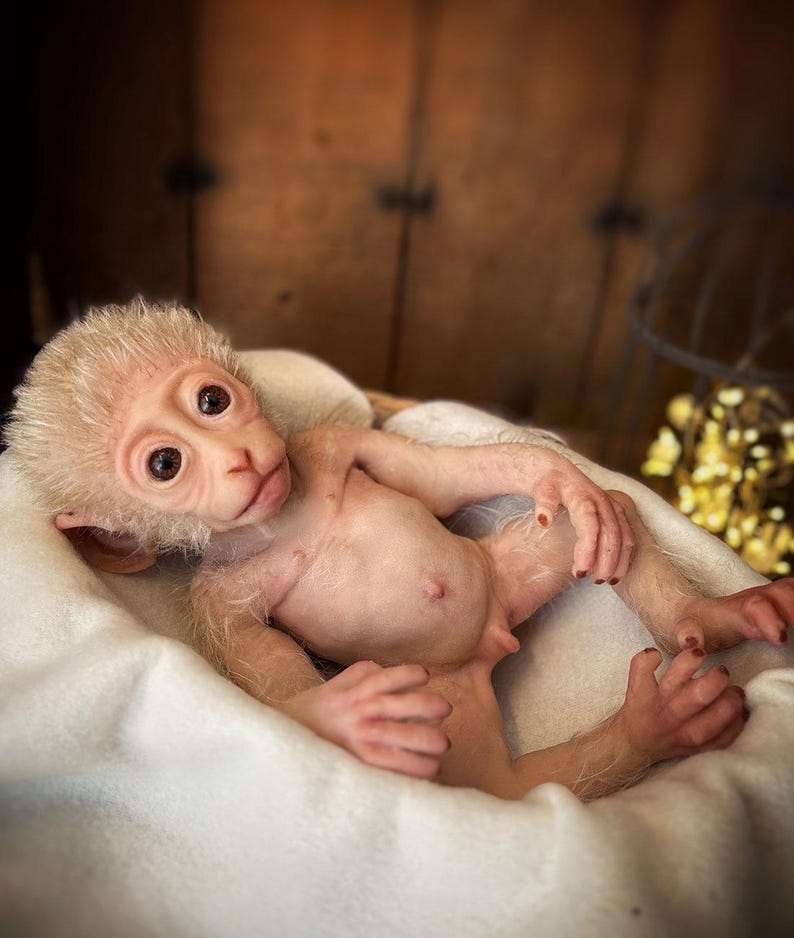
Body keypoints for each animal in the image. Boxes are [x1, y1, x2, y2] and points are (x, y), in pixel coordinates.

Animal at [5, 297, 792, 799]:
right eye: (166, 464)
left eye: (212, 402)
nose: (237, 460)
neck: (280, 518)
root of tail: (494, 638)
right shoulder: (221, 603)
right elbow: (276, 696)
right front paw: (345, 714)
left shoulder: (328, 444)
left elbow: (433, 480)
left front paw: (555, 473)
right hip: (448, 708)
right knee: (501, 789)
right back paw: (654, 727)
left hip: (501, 574)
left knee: (600, 525)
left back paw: (713, 616)